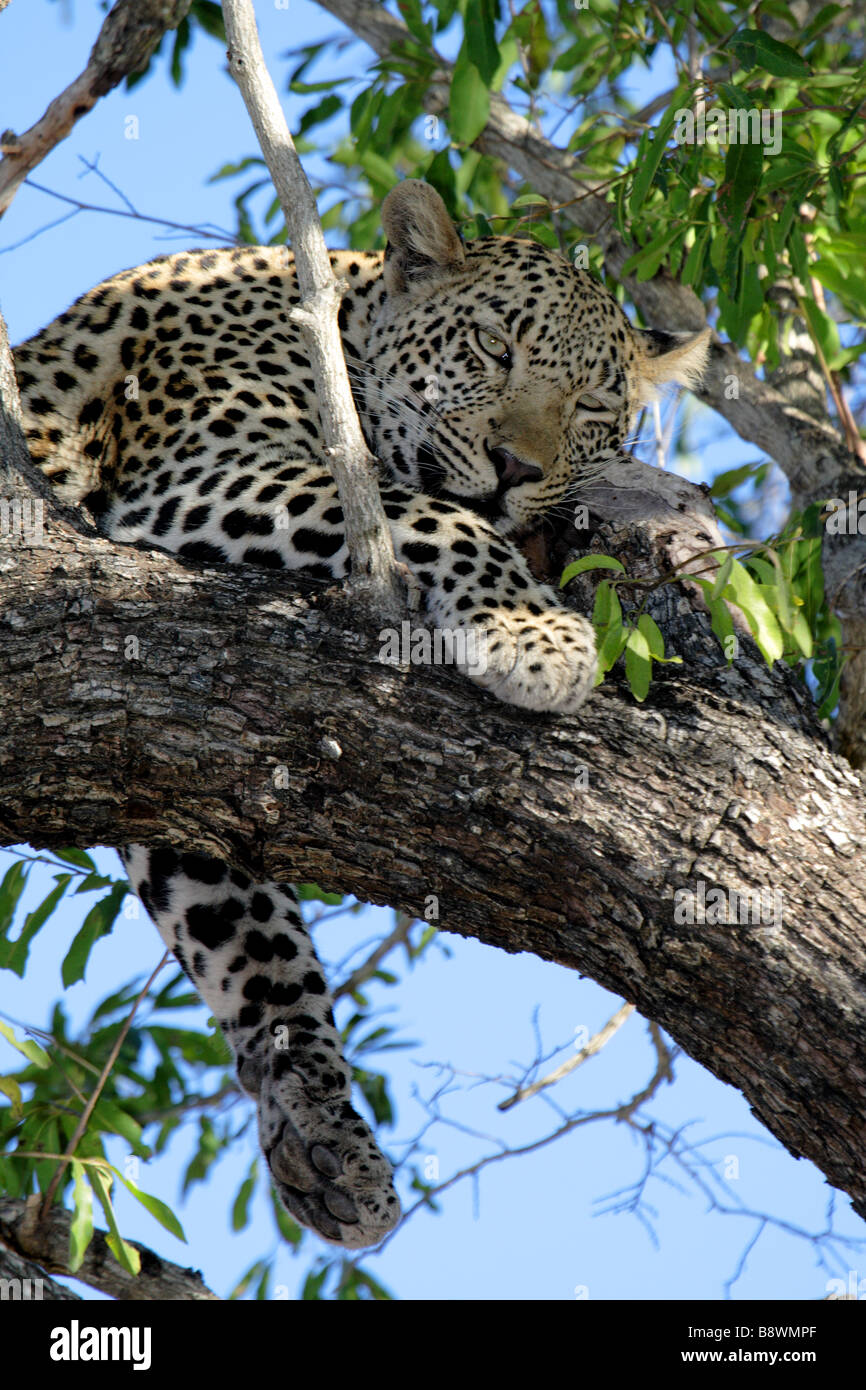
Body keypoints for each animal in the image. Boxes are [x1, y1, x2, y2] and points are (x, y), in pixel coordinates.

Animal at [13, 179, 709, 1250]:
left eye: (594, 406)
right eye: (495, 345)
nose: (515, 466)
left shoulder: (165, 770)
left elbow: (254, 945)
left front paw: (319, 1127)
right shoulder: (205, 470)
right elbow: (427, 511)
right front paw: (532, 634)